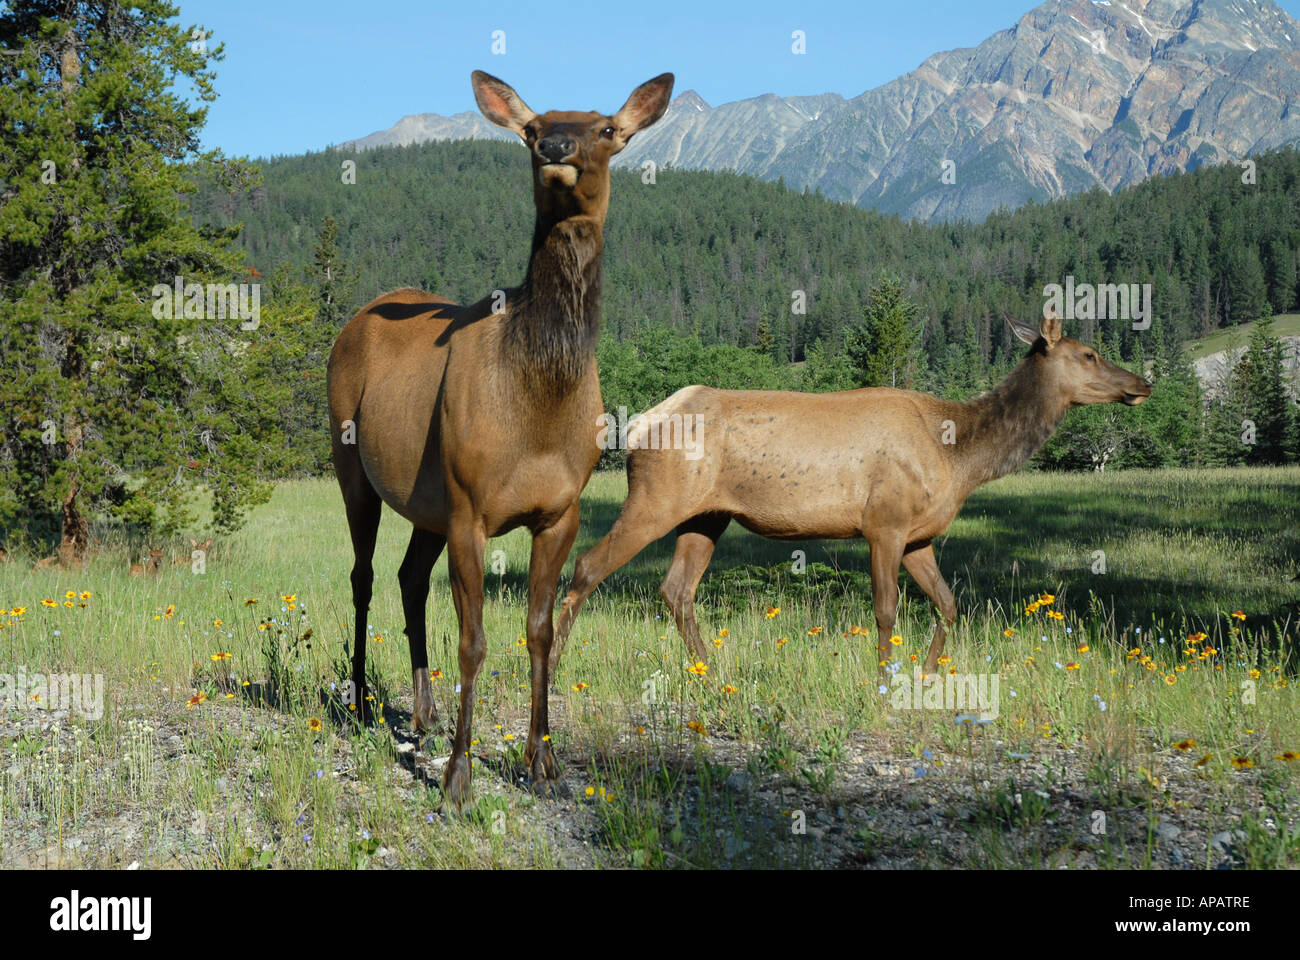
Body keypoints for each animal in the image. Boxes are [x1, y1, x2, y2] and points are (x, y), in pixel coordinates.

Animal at [327, 69, 674, 806]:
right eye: (534, 126)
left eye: (607, 128)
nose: (557, 148)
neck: (538, 403)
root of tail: (356, 319)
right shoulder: (470, 508)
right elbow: (474, 641)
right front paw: (459, 775)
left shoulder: (560, 512)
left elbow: (539, 633)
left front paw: (542, 760)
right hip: (354, 466)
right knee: (364, 575)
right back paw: (366, 701)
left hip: (425, 500)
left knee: (407, 576)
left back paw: (423, 714)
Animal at [550, 310, 1152, 680]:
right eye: (1090, 353)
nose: (1142, 383)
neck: (960, 457)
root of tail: (633, 427)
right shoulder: (883, 524)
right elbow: (885, 611)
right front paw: (884, 681)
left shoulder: (919, 536)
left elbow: (949, 604)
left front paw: (926, 674)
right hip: (657, 498)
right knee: (587, 566)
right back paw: (552, 670)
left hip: (708, 515)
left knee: (676, 589)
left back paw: (711, 674)